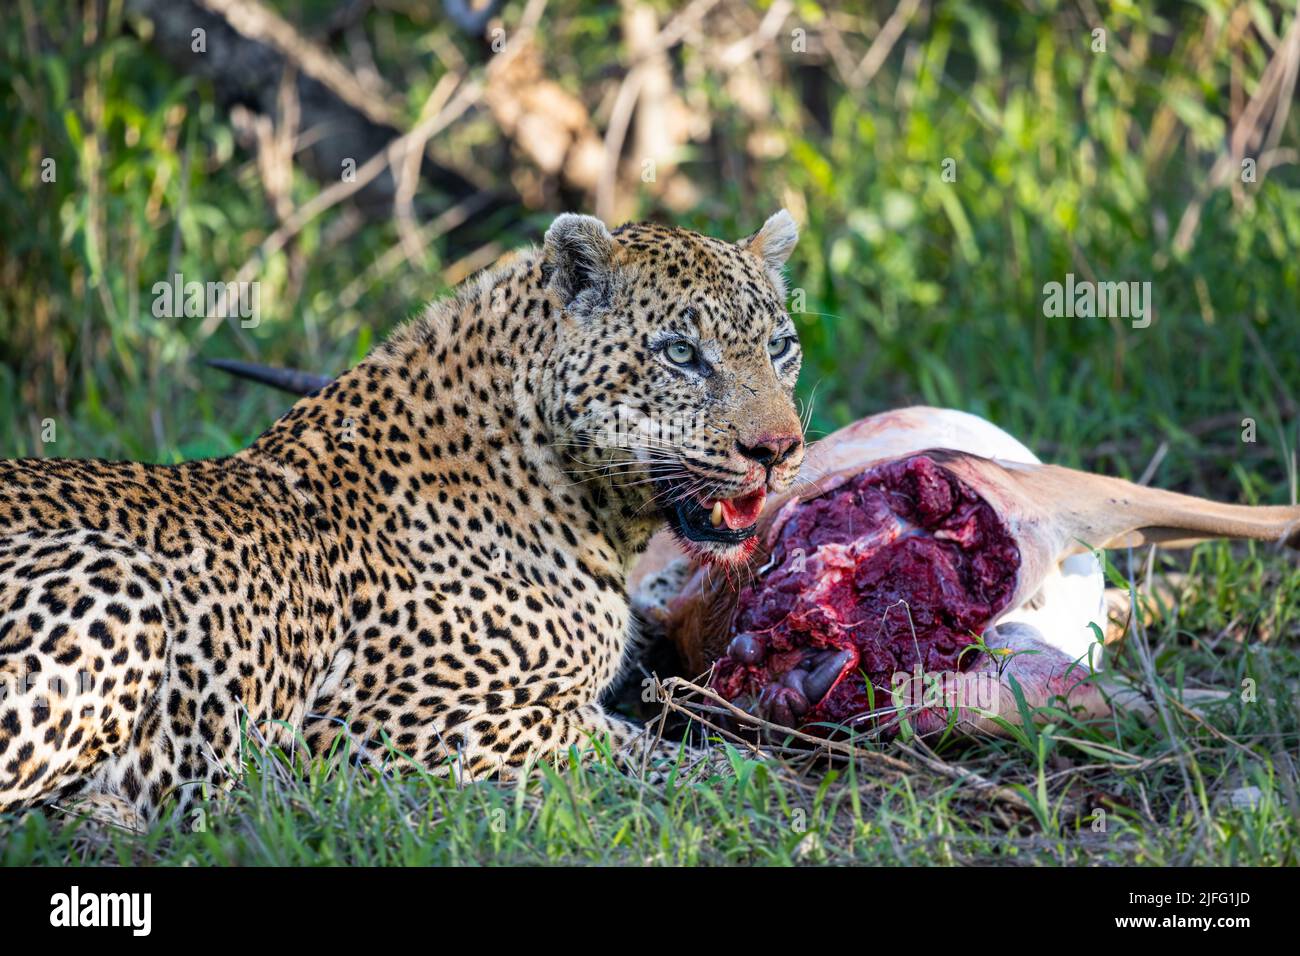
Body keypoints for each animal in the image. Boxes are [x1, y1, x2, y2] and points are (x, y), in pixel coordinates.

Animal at [0, 210, 806, 822]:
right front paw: (782, 782)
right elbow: (650, 756)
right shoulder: (388, 727)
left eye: (781, 348)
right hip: (118, 580)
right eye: (681, 354)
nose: (779, 449)